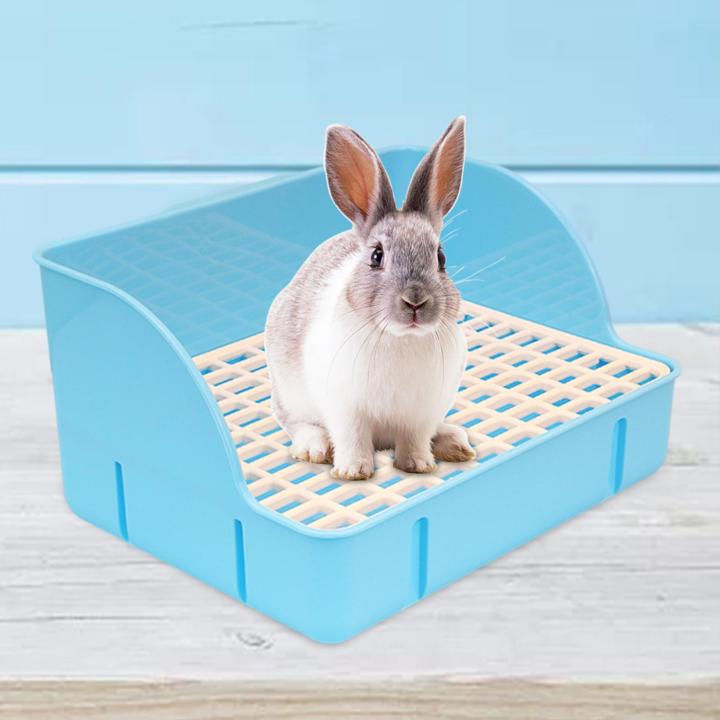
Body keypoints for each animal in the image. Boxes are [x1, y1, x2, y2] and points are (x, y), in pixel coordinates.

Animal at [265, 117, 475, 481]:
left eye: (441, 257)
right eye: (377, 256)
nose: (415, 301)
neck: (401, 338)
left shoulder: (421, 414)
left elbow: (415, 439)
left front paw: (418, 465)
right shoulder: (345, 409)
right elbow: (352, 438)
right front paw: (353, 471)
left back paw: (455, 443)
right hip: (289, 393)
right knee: (295, 422)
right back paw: (313, 447)